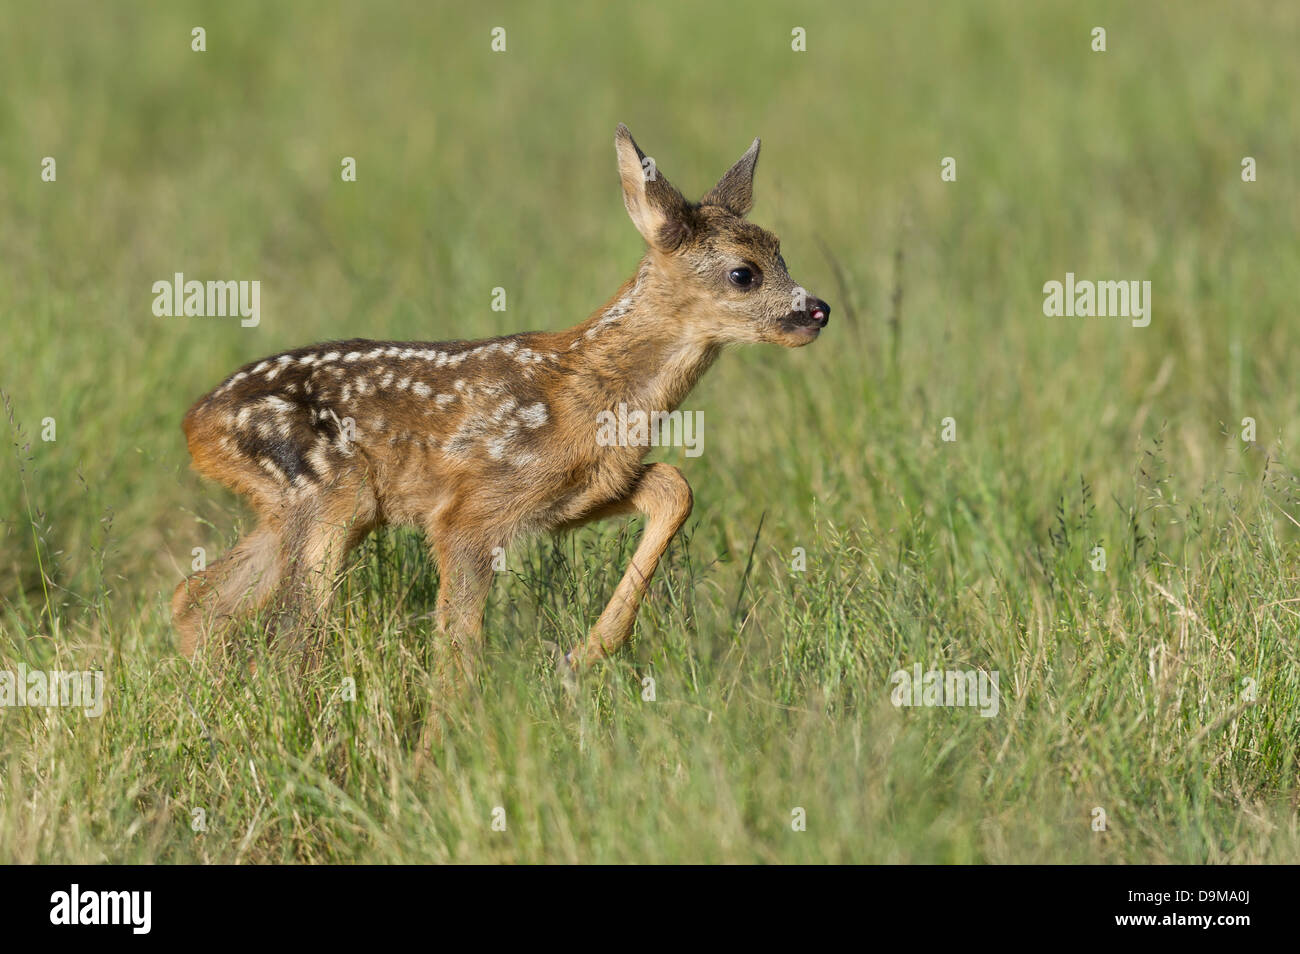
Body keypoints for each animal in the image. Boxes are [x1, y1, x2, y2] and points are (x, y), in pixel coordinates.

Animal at [172, 123, 830, 714]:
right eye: (744, 272)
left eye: (780, 249)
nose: (818, 310)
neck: (590, 392)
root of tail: (196, 424)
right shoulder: (470, 511)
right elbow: (457, 650)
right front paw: (445, 748)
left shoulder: (579, 494)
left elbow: (675, 485)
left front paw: (581, 656)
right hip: (329, 493)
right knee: (292, 633)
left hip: (303, 509)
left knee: (195, 597)